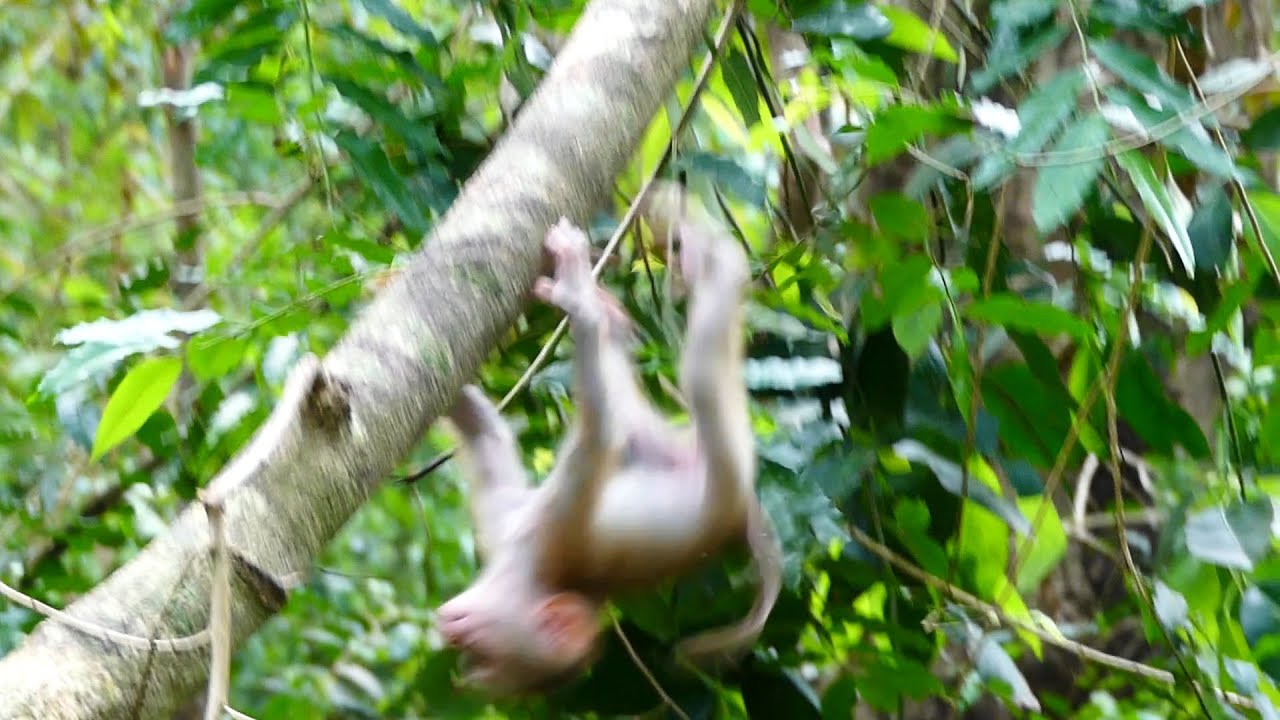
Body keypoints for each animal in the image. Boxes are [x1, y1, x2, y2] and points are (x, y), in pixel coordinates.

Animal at [434, 216, 782, 696]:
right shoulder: (511, 525)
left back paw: (710, 268)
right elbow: (487, 437)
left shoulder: (555, 532)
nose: (447, 625)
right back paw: (624, 305)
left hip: (728, 459)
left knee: (699, 376)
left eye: (475, 649)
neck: (522, 571)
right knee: (637, 415)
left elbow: (601, 434)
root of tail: (743, 508)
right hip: (673, 446)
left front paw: (578, 305)